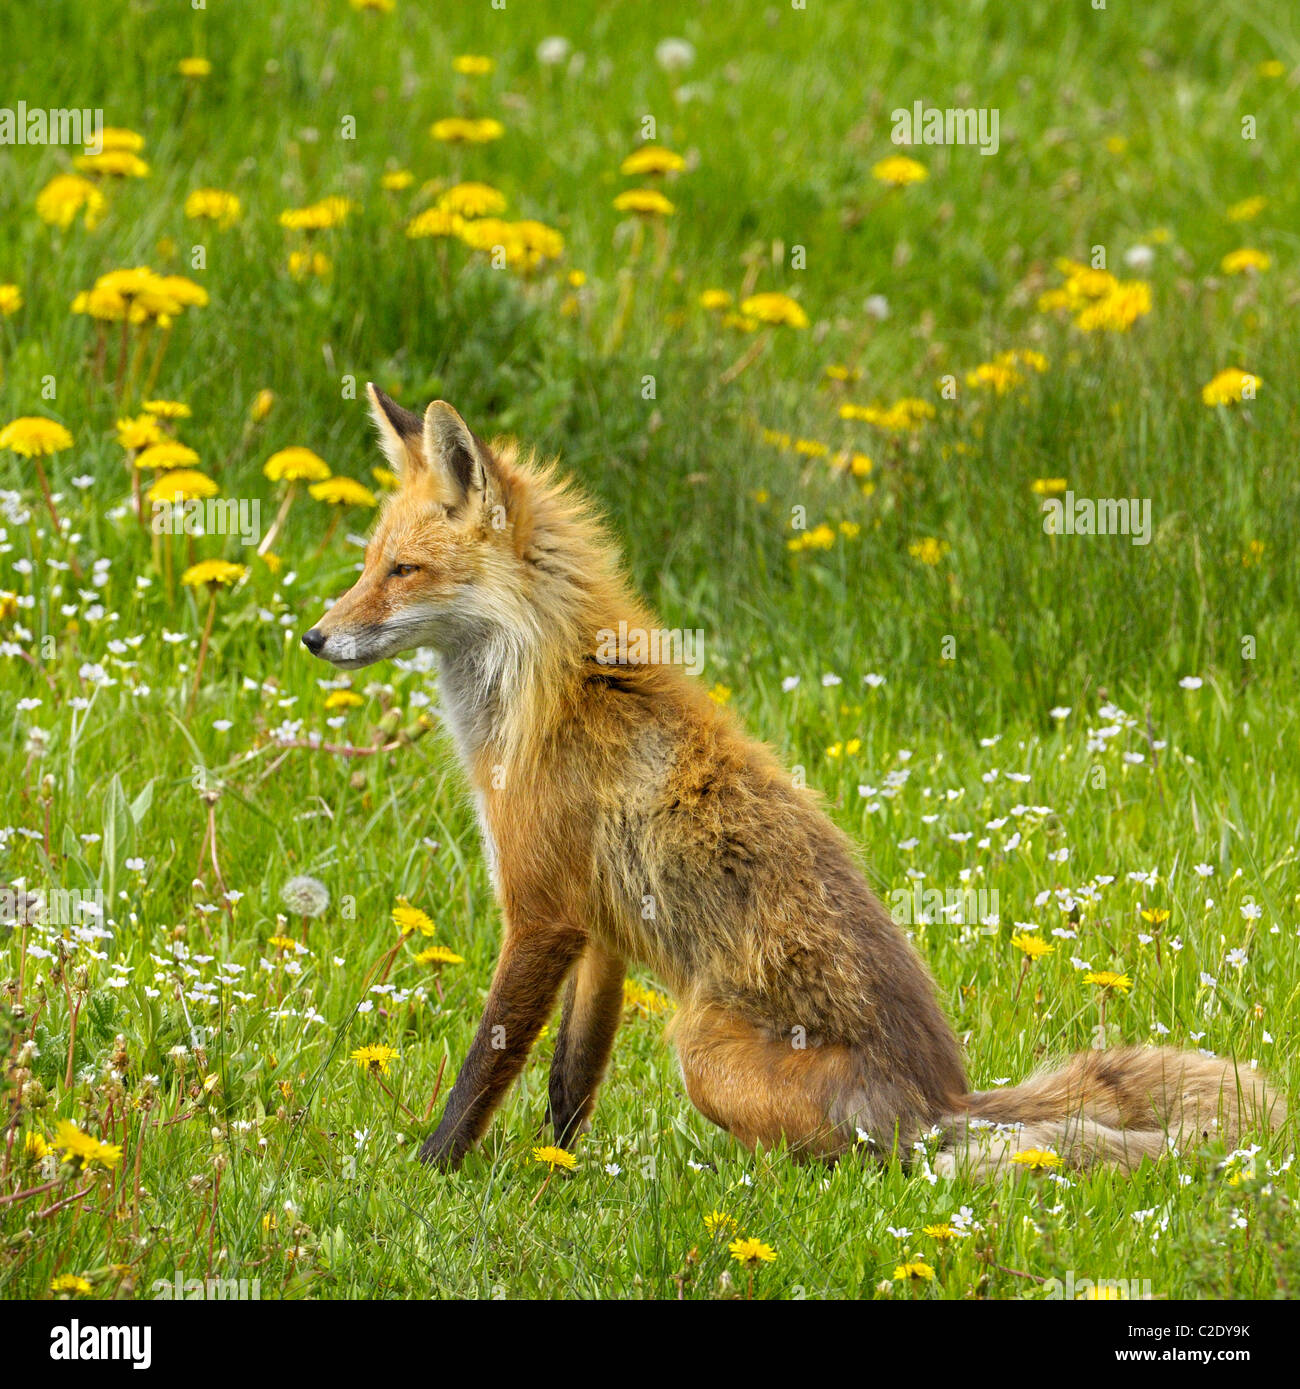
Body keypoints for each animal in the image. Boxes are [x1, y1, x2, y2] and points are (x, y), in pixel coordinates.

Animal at [302, 385, 1283, 1176]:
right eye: (366, 563)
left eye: (402, 570)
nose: (313, 638)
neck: (550, 688)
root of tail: (941, 1100)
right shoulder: (600, 929)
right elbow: (569, 1079)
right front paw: (558, 1168)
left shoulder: (543, 912)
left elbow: (483, 1065)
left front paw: (432, 1169)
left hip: (702, 1041)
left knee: (873, 1164)